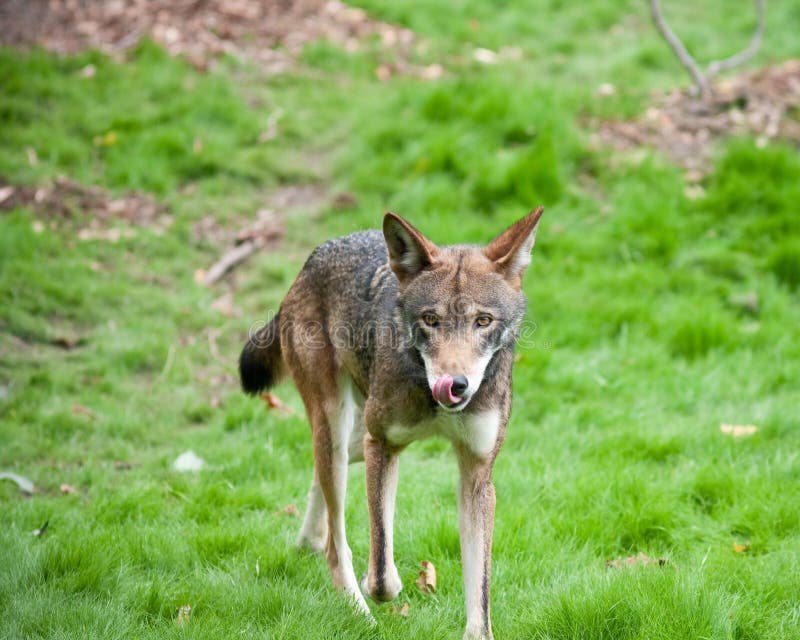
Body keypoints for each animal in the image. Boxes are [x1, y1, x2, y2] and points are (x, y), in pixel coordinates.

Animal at [239, 207, 544, 639]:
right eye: (430, 320)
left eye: (483, 321)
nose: (455, 385)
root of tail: (315, 256)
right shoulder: (383, 445)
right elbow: (382, 570)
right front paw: (386, 587)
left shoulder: (477, 475)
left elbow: (480, 603)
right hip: (338, 427)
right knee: (337, 543)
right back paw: (357, 613)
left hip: (350, 437)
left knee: (323, 488)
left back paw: (307, 540)